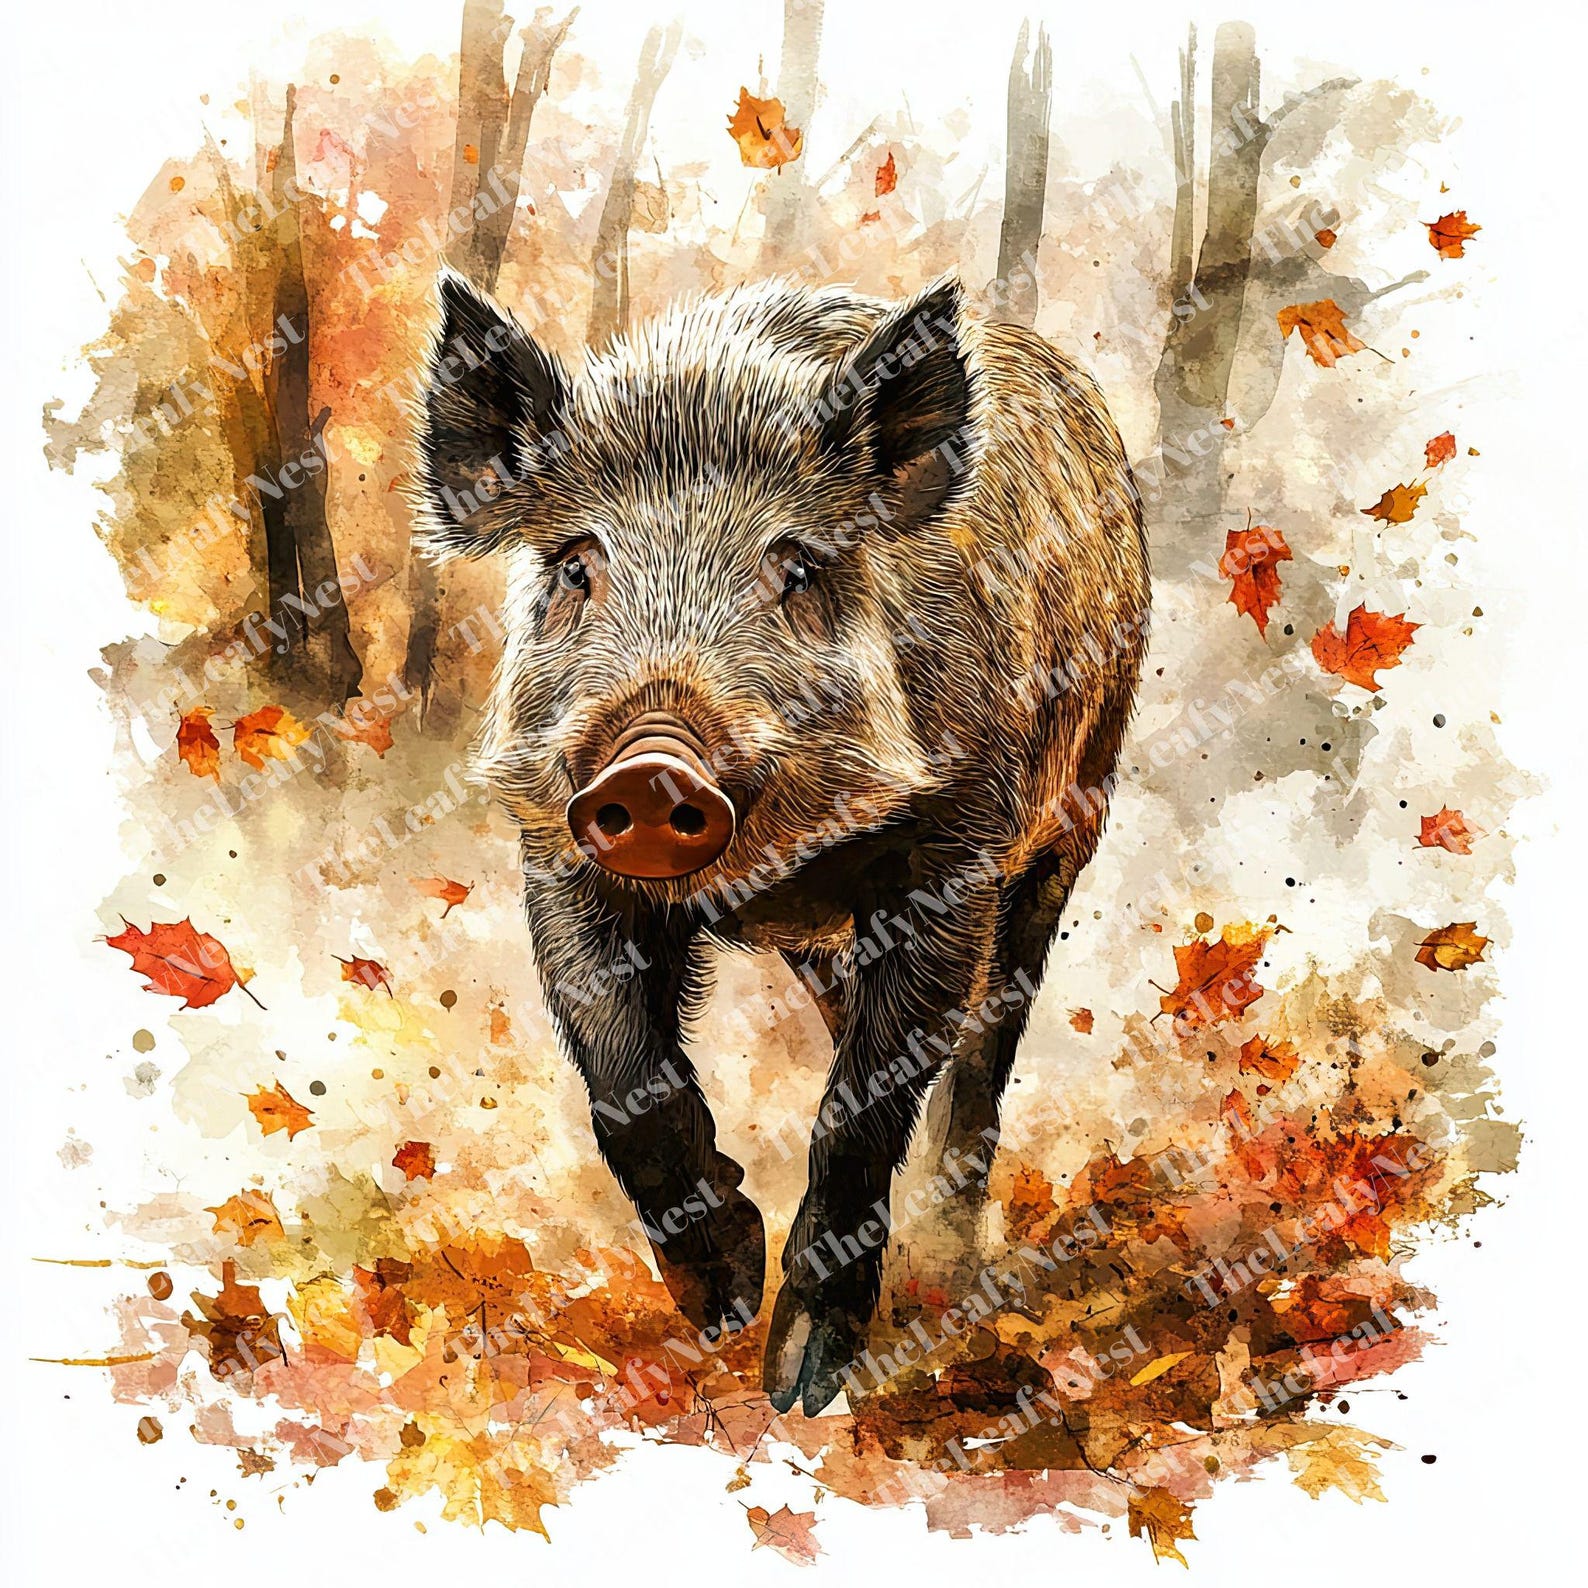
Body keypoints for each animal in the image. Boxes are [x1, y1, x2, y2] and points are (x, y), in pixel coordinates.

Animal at [415, 266, 1150, 1415]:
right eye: (577, 566)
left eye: (794, 569)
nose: (652, 765)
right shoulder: (559, 852)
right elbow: (621, 1072)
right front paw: (721, 1300)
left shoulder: (953, 856)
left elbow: (864, 1101)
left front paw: (801, 1385)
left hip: (1076, 807)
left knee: (990, 1036)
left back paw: (951, 1255)